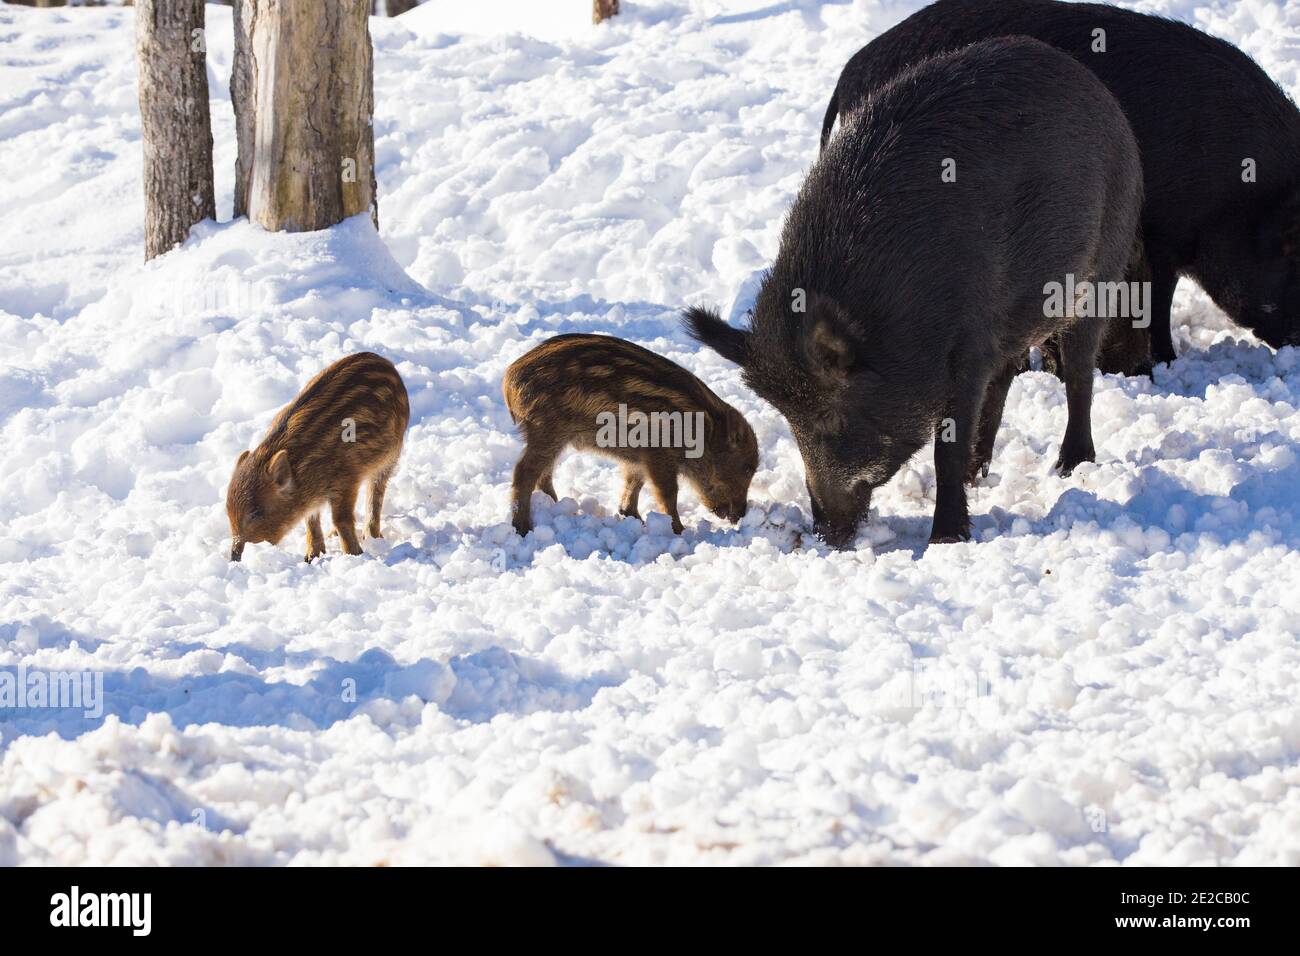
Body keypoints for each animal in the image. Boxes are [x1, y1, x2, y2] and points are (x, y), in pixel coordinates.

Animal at [226, 352, 410, 562]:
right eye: (228, 512)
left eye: (256, 513)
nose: (234, 557)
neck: (303, 465)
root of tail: (385, 362)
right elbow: (311, 518)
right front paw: (311, 557)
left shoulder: (347, 478)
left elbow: (341, 518)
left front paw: (354, 555)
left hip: (390, 457)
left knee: (375, 493)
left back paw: (371, 536)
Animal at [502, 333, 759, 536]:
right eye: (747, 468)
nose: (741, 514)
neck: (703, 430)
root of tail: (509, 379)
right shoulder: (659, 453)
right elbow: (668, 493)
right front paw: (679, 531)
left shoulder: (639, 457)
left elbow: (633, 482)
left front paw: (634, 518)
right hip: (547, 428)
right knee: (524, 472)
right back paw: (523, 527)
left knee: (544, 473)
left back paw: (557, 508)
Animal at [685, 37, 1142, 546]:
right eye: (788, 417)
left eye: (831, 415)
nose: (825, 530)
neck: (891, 316)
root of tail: (1094, 86)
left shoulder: (968, 343)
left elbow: (947, 445)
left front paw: (946, 539)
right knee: (1006, 375)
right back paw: (980, 473)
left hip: (1102, 267)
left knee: (1079, 370)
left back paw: (1069, 466)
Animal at [820, 0, 1300, 366]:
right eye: (1291, 250)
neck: (1240, 198)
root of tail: (848, 73)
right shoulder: (1163, 234)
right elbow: (1157, 301)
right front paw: (1166, 360)